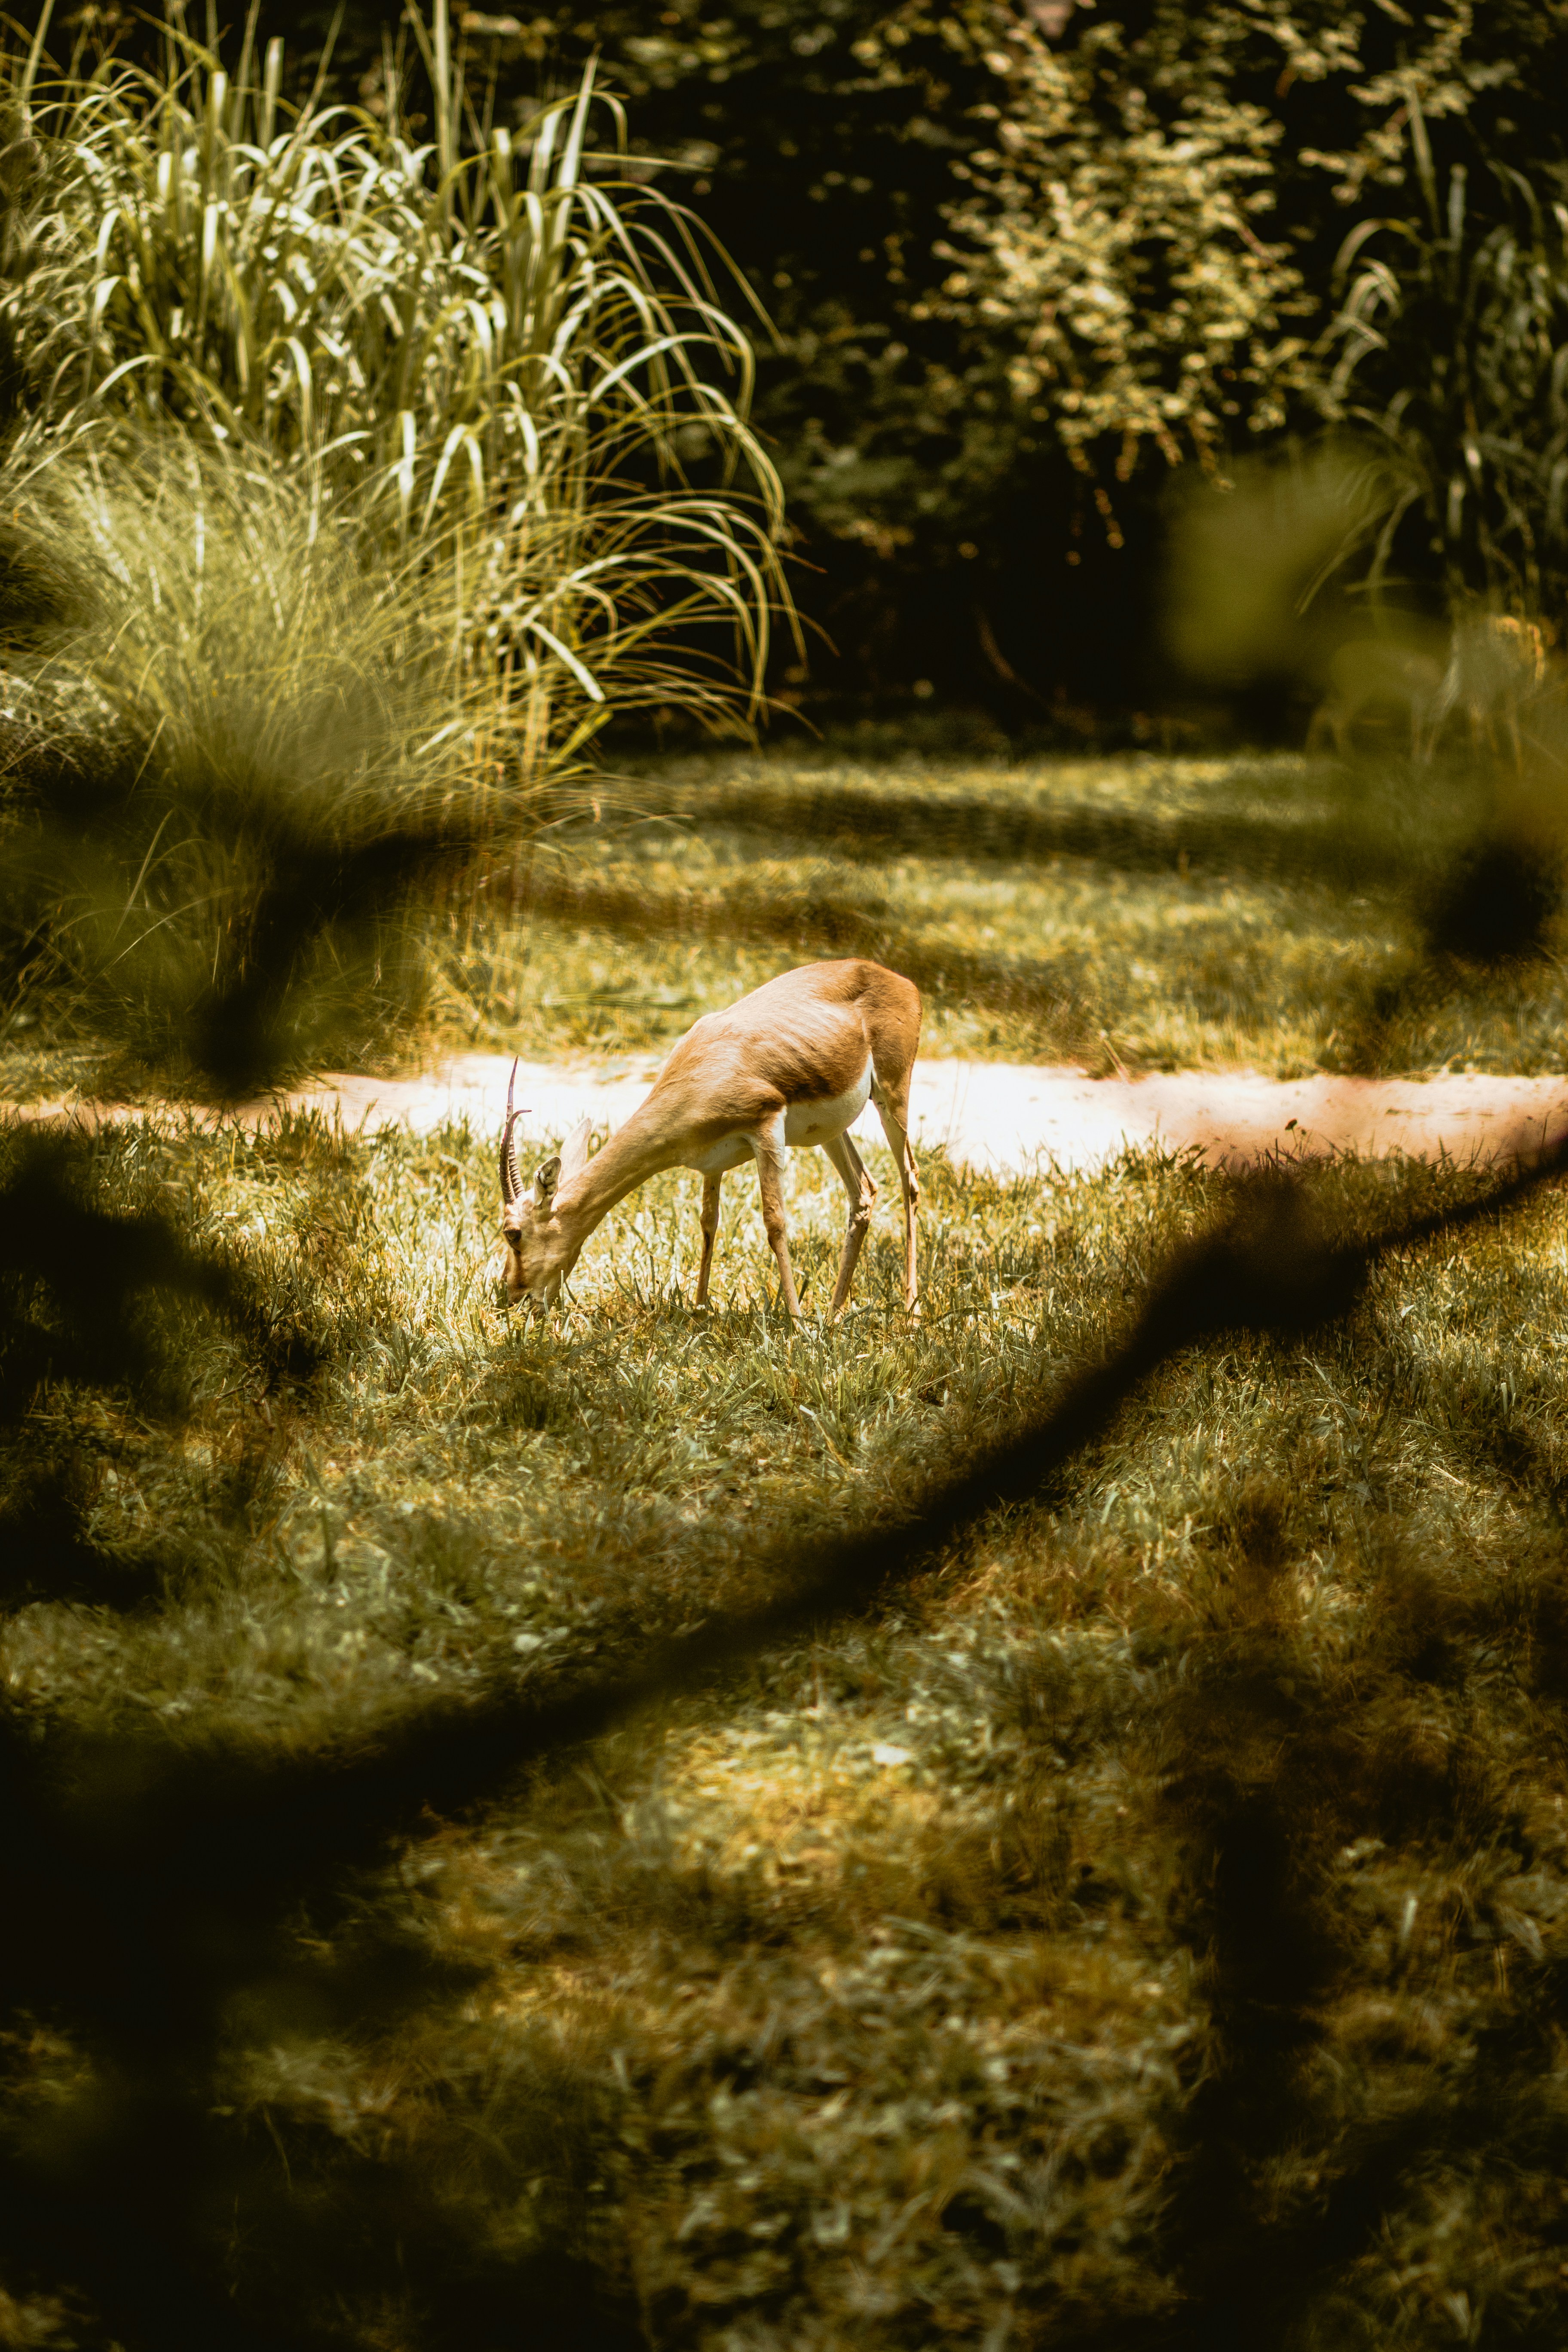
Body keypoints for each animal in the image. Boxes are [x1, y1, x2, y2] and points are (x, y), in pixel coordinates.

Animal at [498, 959, 922, 1323]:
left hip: (892, 1097)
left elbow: (775, 1222)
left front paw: (797, 1326)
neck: (703, 1074)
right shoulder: (711, 1162)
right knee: (864, 1192)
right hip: (831, 1132)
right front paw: (700, 1311)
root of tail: (901, 981)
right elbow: (708, 1223)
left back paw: (910, 1312)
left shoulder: (767, 1129)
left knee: (910, 1181)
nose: (512, 1295)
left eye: (512, 1233)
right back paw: (833, 1315)